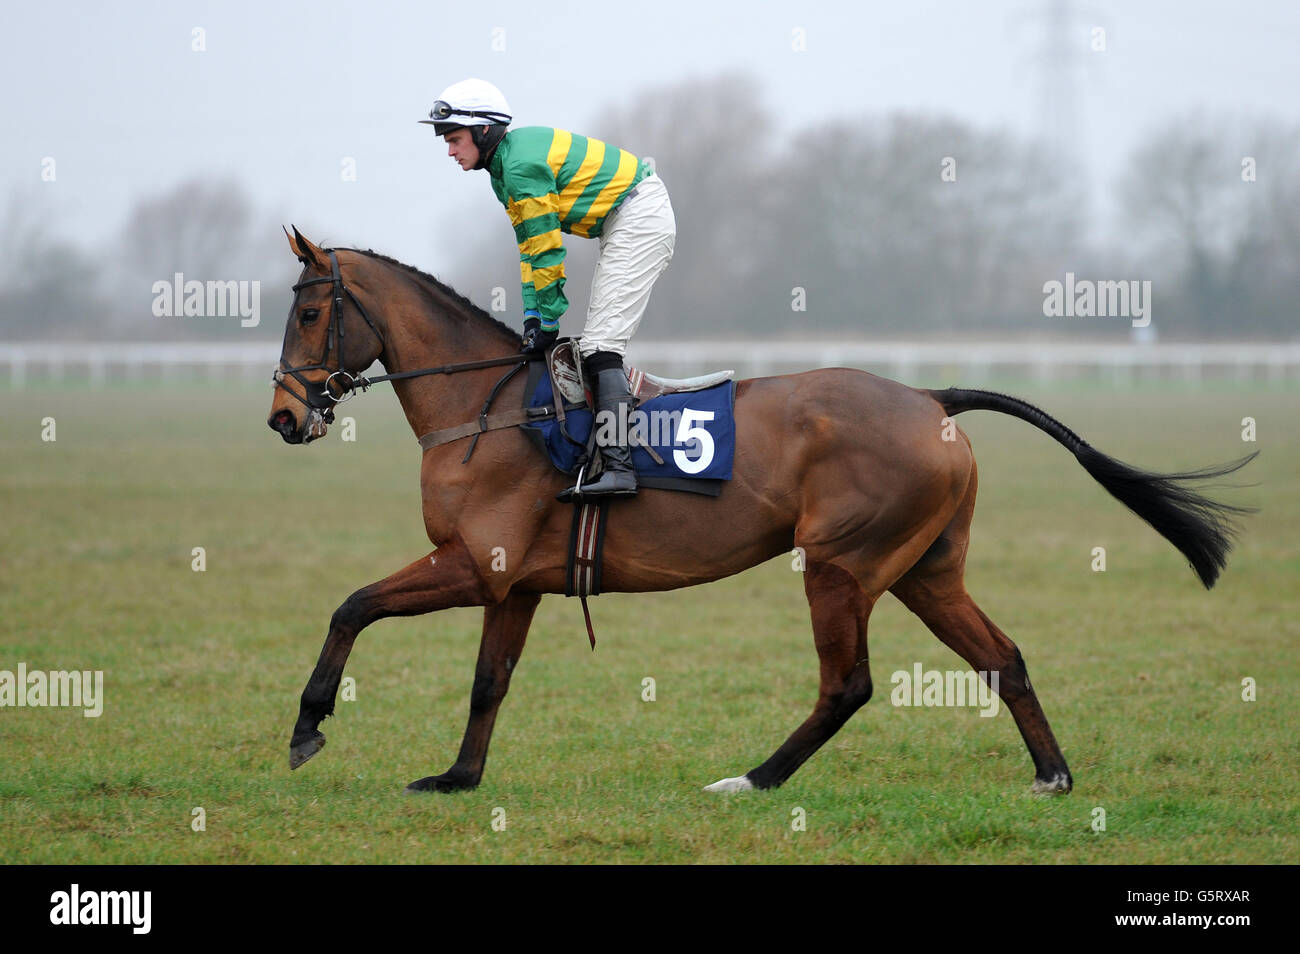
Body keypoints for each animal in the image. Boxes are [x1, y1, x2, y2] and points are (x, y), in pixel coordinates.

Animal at [267, 227, 1254, 795]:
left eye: (310, 311)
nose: (282, 416)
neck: (490, 407)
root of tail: (930, 398)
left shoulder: (476, 566)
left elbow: (349, 606)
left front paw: (309, 725)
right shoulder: (516, 584)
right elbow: (488, 683)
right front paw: (459, 778)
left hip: (842, 564)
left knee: (848, 684)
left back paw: (755, 778)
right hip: (926, 571)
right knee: (1001, 657)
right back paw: (1051, 775)